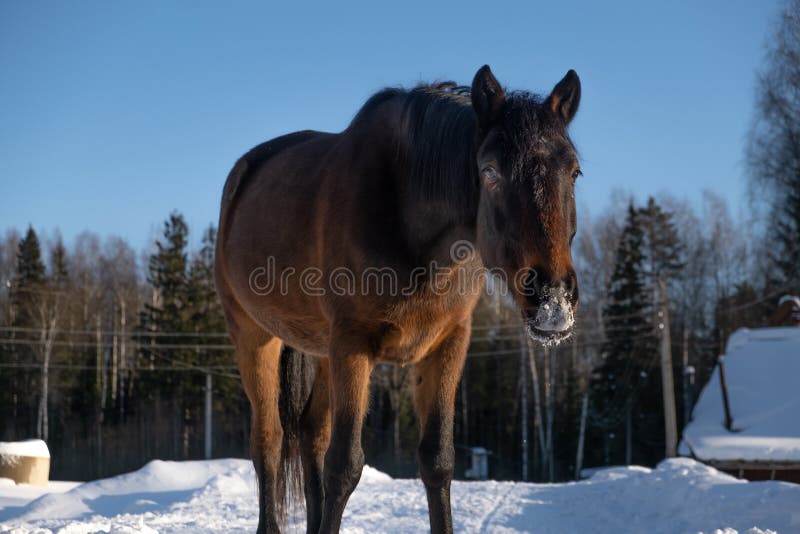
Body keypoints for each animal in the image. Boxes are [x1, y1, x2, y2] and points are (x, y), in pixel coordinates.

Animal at [214, 65, 582, 534]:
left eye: (574, 172)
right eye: (490, 171)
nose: (553, 300)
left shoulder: (448, 345)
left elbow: (437, 461)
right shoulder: (353, 344)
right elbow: (344, 466)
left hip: (322, 350)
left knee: (312, 432)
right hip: (254, 336)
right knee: (269, 441)